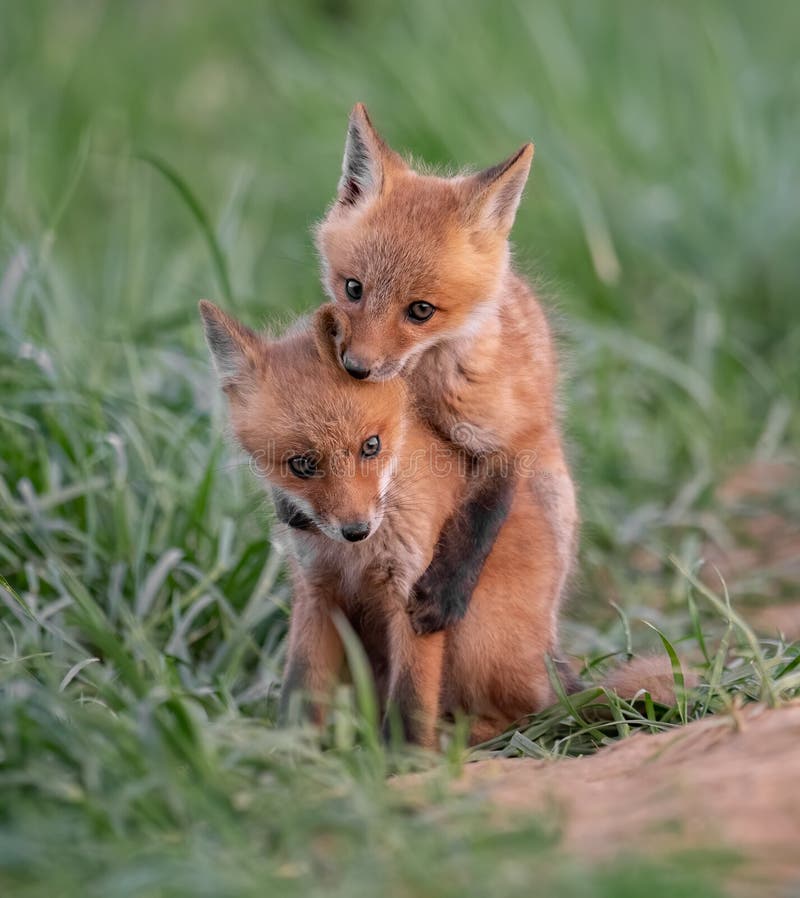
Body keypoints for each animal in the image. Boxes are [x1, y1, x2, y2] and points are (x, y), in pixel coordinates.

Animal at [199, 300, 574, 747]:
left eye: (371, 446)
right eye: (302, 465)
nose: (356, 530)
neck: (356, 558)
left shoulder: (410, 595)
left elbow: (410, 703)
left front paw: (404, 759)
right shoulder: (317, 593)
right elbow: (300, 690)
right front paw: (291, 753)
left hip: (474, 635)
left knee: (527, 713)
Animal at [307, 104, 578, 638]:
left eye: (421, 311)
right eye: (353, 288)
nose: (356, 368)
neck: (423, 386)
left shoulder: (511, 437)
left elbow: (480, 519)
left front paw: (444, 596)